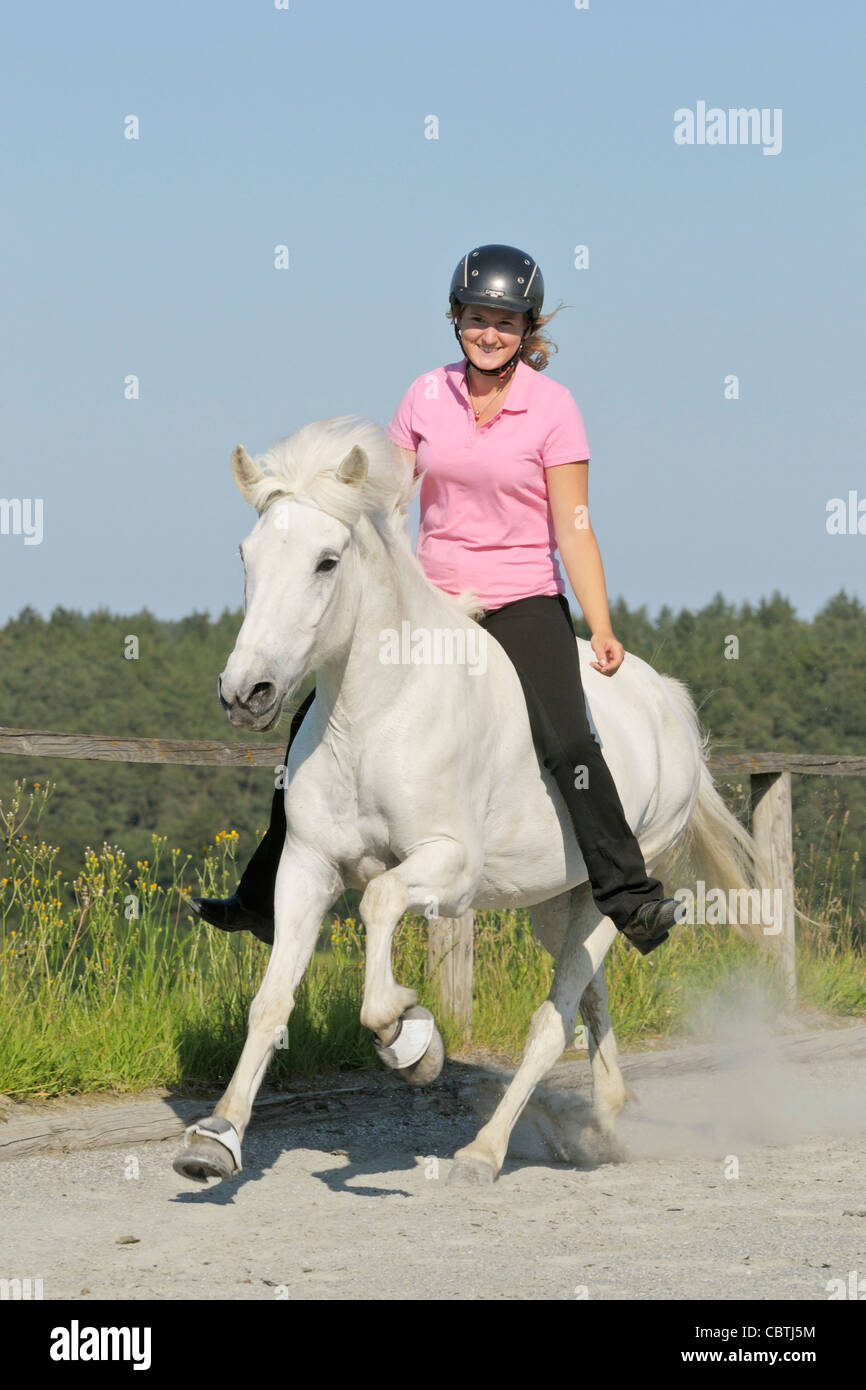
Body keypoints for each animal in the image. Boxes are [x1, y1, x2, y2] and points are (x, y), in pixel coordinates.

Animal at [173, 414, 770, 1185]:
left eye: (327, 562)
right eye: (247, 557)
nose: (247, 693)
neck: (377, 714)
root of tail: (662, 700)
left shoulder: (449, 870)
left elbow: (378, 905)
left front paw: (408, 1037)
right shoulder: (306, 867)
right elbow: (271, 1002)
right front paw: (214, 1140)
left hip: (608, 894)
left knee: (553, 1019)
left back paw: (483, 1153)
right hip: (556, 902)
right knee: (588, 995)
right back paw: (605, 1125)